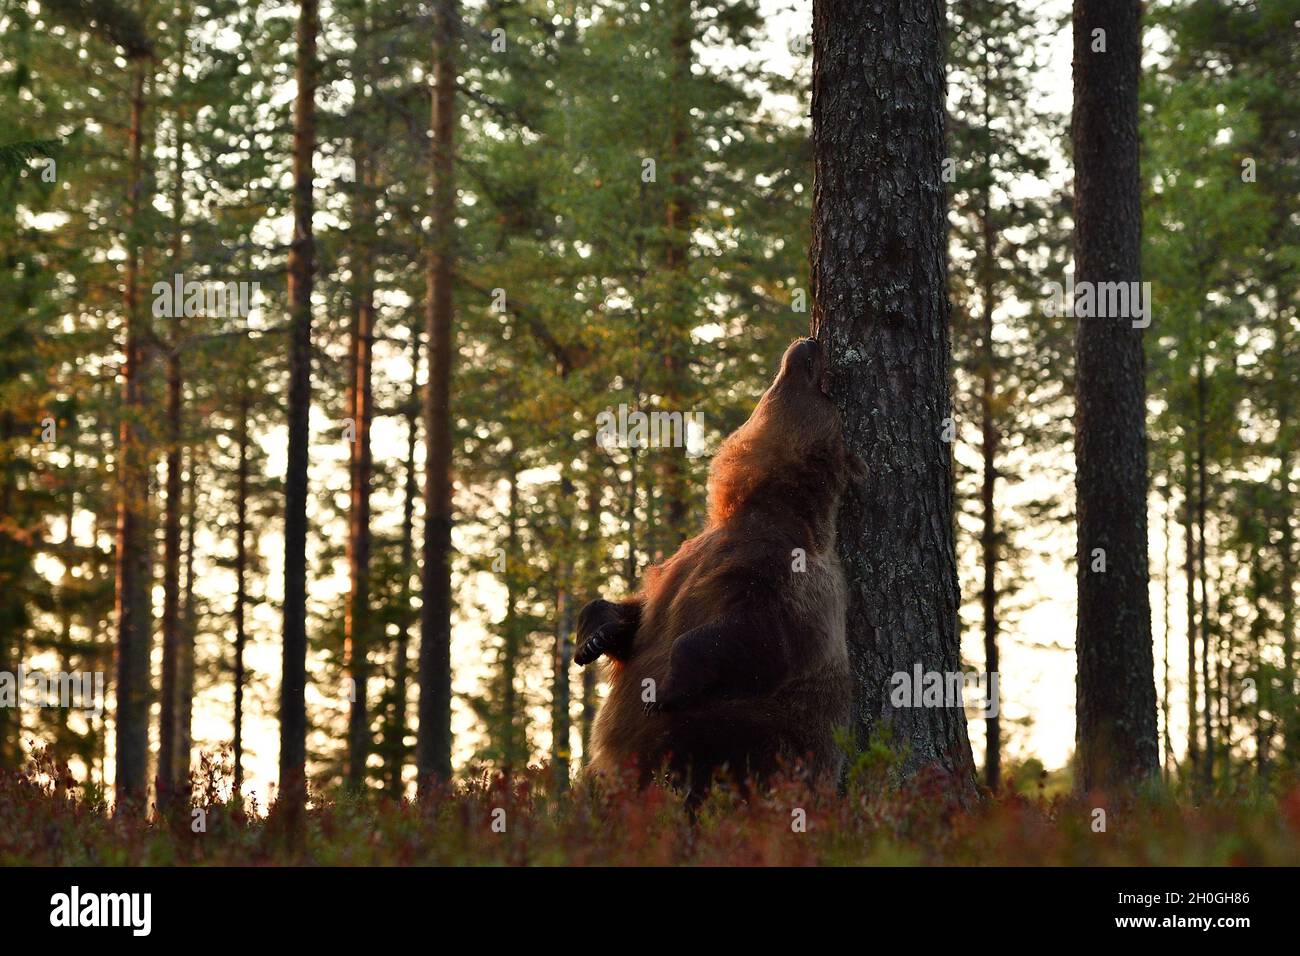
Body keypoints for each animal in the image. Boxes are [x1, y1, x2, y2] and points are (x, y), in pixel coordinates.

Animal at [575, 336, 859, 799]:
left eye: (823, 392)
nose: (809, 343)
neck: (754, 502)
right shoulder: (687, 558)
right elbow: (637, 609)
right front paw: (593, 637)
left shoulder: (786, 575)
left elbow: (757, 633)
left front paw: (665, 688)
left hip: (748, 732)